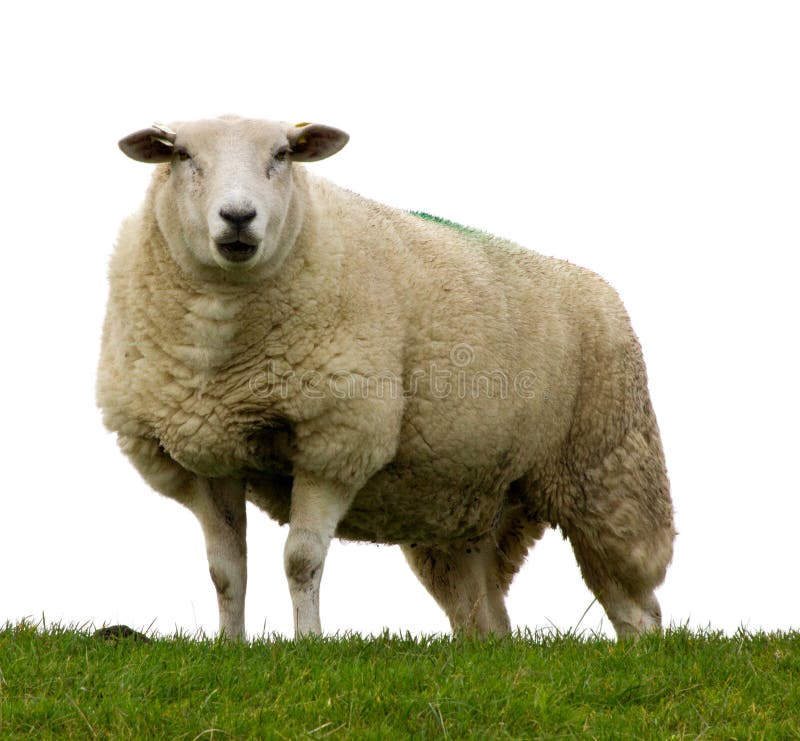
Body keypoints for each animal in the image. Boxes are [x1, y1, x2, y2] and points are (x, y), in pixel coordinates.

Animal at [97, 115, 675, 640]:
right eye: (182, 155)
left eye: (282, 154)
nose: (238, 217)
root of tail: (599, 287)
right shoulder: (207, 449)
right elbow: (225, 572)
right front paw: (230, 646)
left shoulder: (336, 439)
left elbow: (301, 560)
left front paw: (309, 643)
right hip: (463, 506)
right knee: (484, 615)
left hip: (610, 474)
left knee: (637, 604)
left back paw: (638, 658)